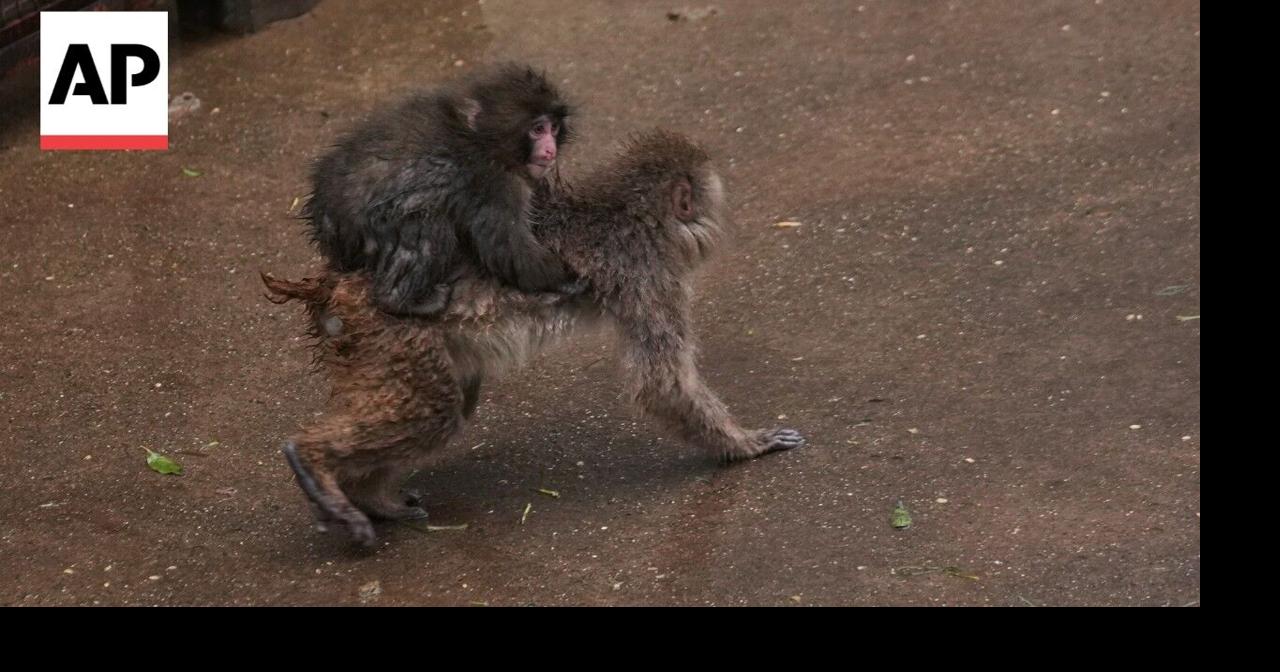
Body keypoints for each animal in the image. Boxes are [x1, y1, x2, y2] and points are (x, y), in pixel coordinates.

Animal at [264, 131, 805, 546]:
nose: (717, 221)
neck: (627, 214)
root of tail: (335, 283)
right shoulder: (647, 274)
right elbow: (662, 384)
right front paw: (745, 445)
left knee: (450, 402)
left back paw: (367, 495)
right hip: (387, 335)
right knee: (435, 412)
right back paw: (315, 461)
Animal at [302, 63, 578, 319]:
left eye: (553, 128)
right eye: (538, 129)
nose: (550, 150)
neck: (483, 140)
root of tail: (325, 214)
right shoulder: (494, 184)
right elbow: (509, 248)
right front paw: (566, 279)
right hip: (369, 228)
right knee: (428, 226)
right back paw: (400, 301)